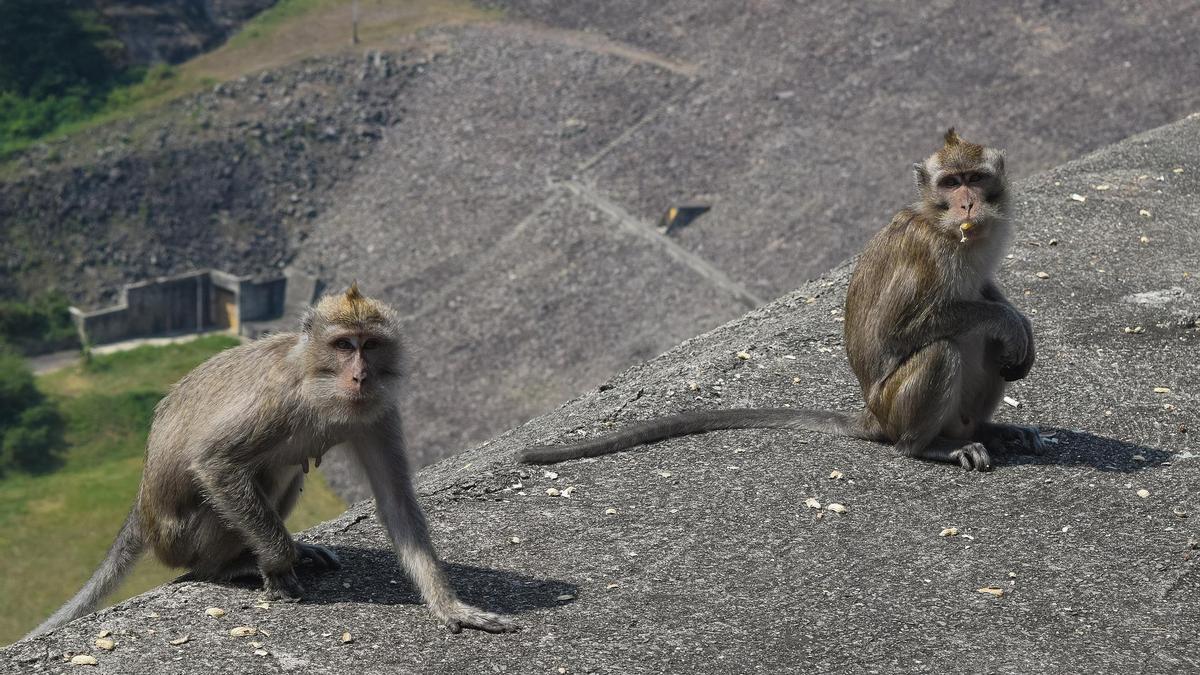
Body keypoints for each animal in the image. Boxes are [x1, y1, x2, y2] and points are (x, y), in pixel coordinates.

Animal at [28, 282, 516, 634]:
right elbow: (215, 463)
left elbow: (395, 499)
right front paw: (279, 562)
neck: (321, 388)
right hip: (181, 538)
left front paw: (449, 604)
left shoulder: (379, 412)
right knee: (248, 484)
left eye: (371, 345)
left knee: (285, 473)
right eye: (344, 345)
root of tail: (143, 511)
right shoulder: (280, 401)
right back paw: (232, 565)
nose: (360, 376)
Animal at [520, 128, 1046, 470]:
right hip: (894, 408)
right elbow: (903, 328)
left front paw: (1020, 324)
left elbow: (986, 297)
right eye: (950, 183)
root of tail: (872, 416)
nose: (968, 203)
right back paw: (930, 446)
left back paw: (986, 429)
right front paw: (1009, 321)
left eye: (975, 178)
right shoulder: (929, 251)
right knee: (943, 350)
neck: (950, 228)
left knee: (986, 348)